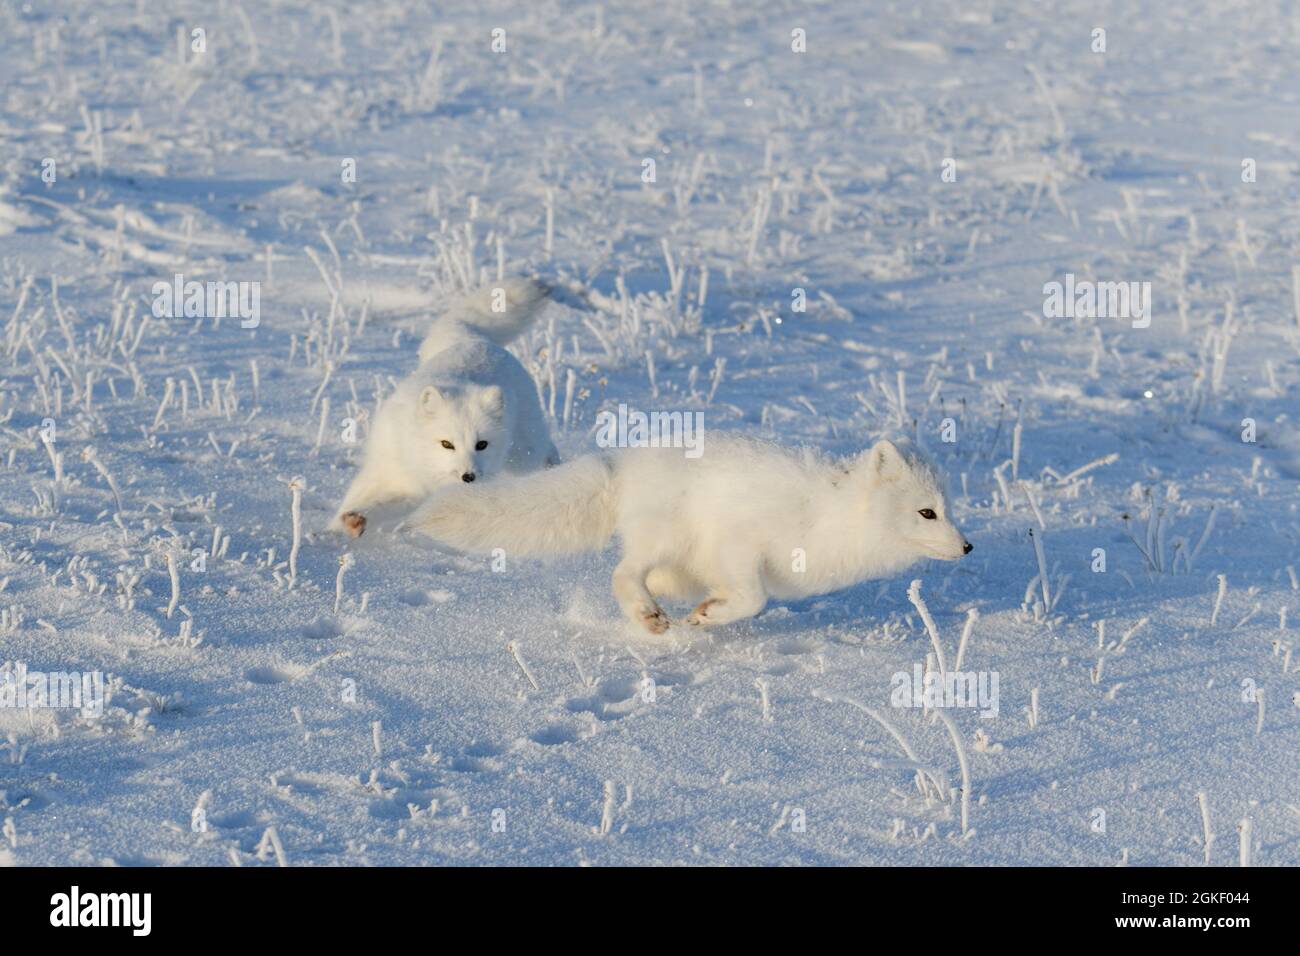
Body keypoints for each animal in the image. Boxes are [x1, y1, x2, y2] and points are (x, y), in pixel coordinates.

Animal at [332, 277, 560, 537]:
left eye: (482, 444)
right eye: (446, 444)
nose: (468, 477)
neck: (416, 458)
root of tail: (473, 340)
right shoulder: (390, 471)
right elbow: (364, 500)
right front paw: (342, 524)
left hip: (522, 454)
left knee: (544, 448)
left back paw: (552, 467)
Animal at [410, 434, 972, 632]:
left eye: (948, 509)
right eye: (927, 513)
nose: (968, 546)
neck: (830, 518)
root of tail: (623, 461)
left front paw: (706, 610)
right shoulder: (739, 542)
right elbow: (754, 598)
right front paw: (709, 616)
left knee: (648, 577)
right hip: (666, 535)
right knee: (623, 572)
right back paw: (648, 616)